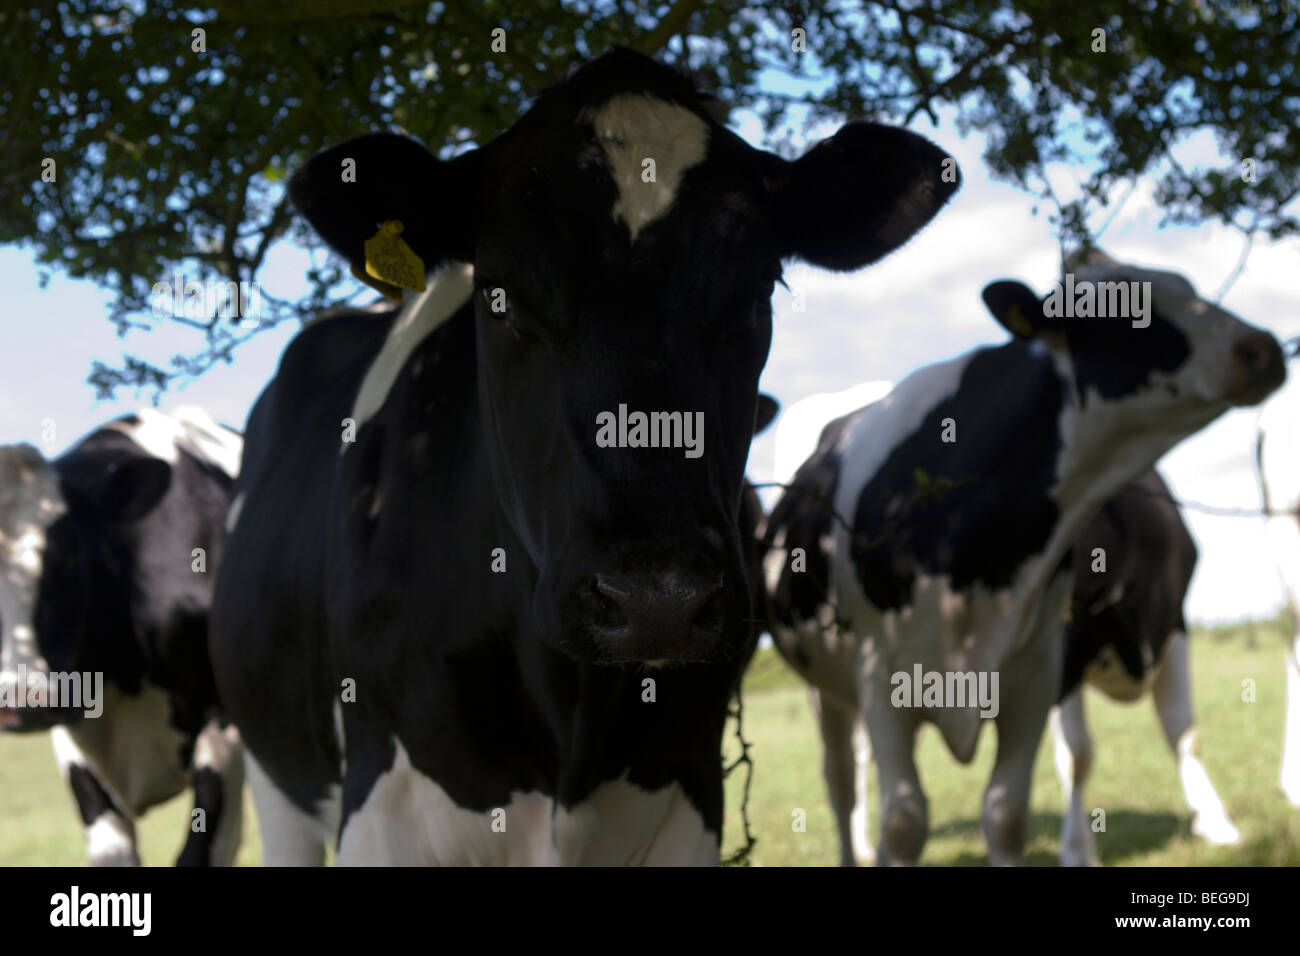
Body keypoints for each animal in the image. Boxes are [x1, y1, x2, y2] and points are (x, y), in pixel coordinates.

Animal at [209, 47, 959, 865]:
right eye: (498, 292)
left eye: (760, 287)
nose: (656, 599)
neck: (573, 713)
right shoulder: (383, 810)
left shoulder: (688, 795)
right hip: (274, 773)